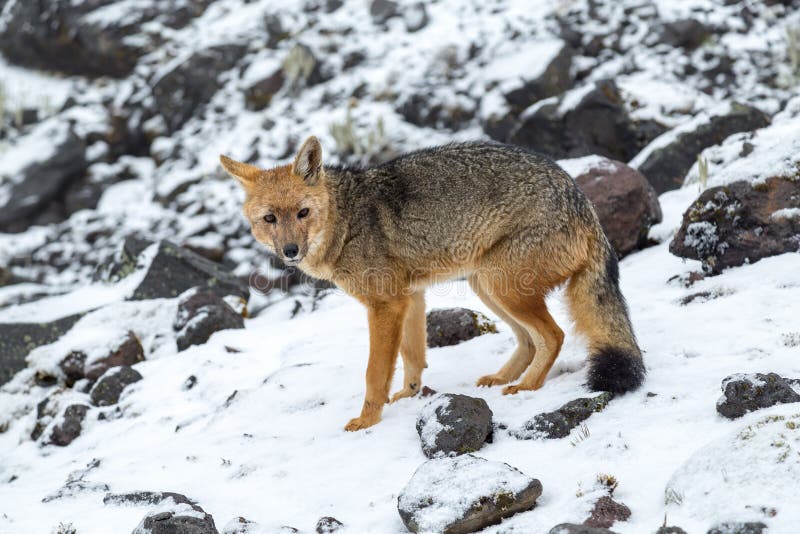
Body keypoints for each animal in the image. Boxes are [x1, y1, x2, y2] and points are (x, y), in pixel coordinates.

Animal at [220, 137, 645, 431]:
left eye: (303, 213)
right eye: (270, 219)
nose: (290, 251)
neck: (348, 221)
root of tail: (581, 199)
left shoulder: (386, 305)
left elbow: (375, 372)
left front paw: (367, 421)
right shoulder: (411, 297)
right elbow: (412, 356)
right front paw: (407, 396)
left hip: (501, 285)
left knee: (553, 336)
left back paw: (526, 387)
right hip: (486, 286)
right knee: (529, 340)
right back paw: (502, 378)